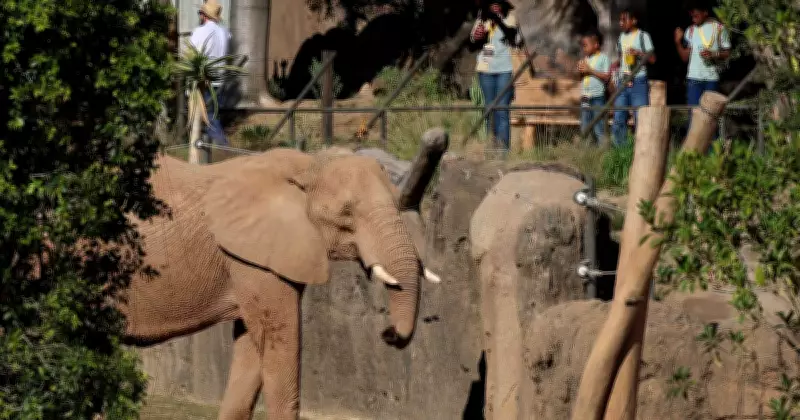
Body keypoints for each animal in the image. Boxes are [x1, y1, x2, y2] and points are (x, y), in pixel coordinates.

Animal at [117, 139, 445, 420]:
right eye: (347, 213)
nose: (388, 333)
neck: (308, 165)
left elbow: (252, 347)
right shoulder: (252, 258)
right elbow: (281, 340)